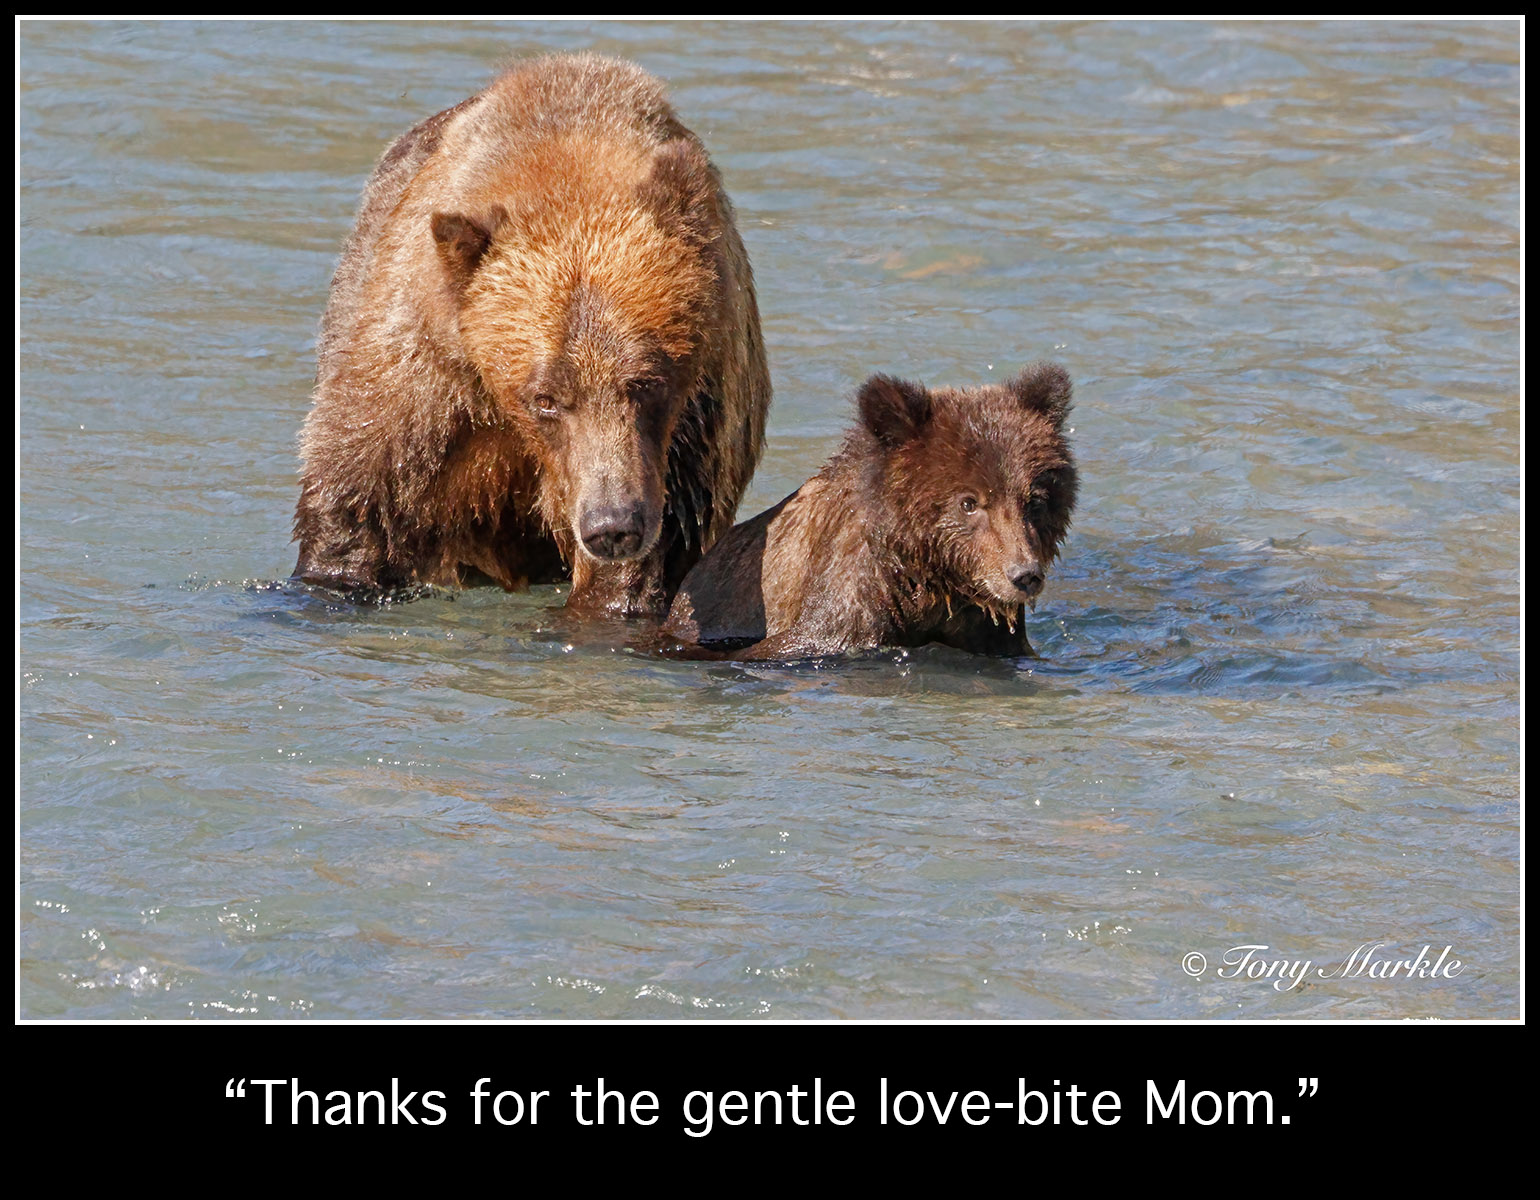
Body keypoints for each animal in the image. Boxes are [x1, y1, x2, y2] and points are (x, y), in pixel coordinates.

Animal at [292, 53, 772, 617]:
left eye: (647, 383)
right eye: (544, 397)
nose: (613, 525)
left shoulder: (690, 430)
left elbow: (648, 557)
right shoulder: (424, 377)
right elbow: (361, 498)